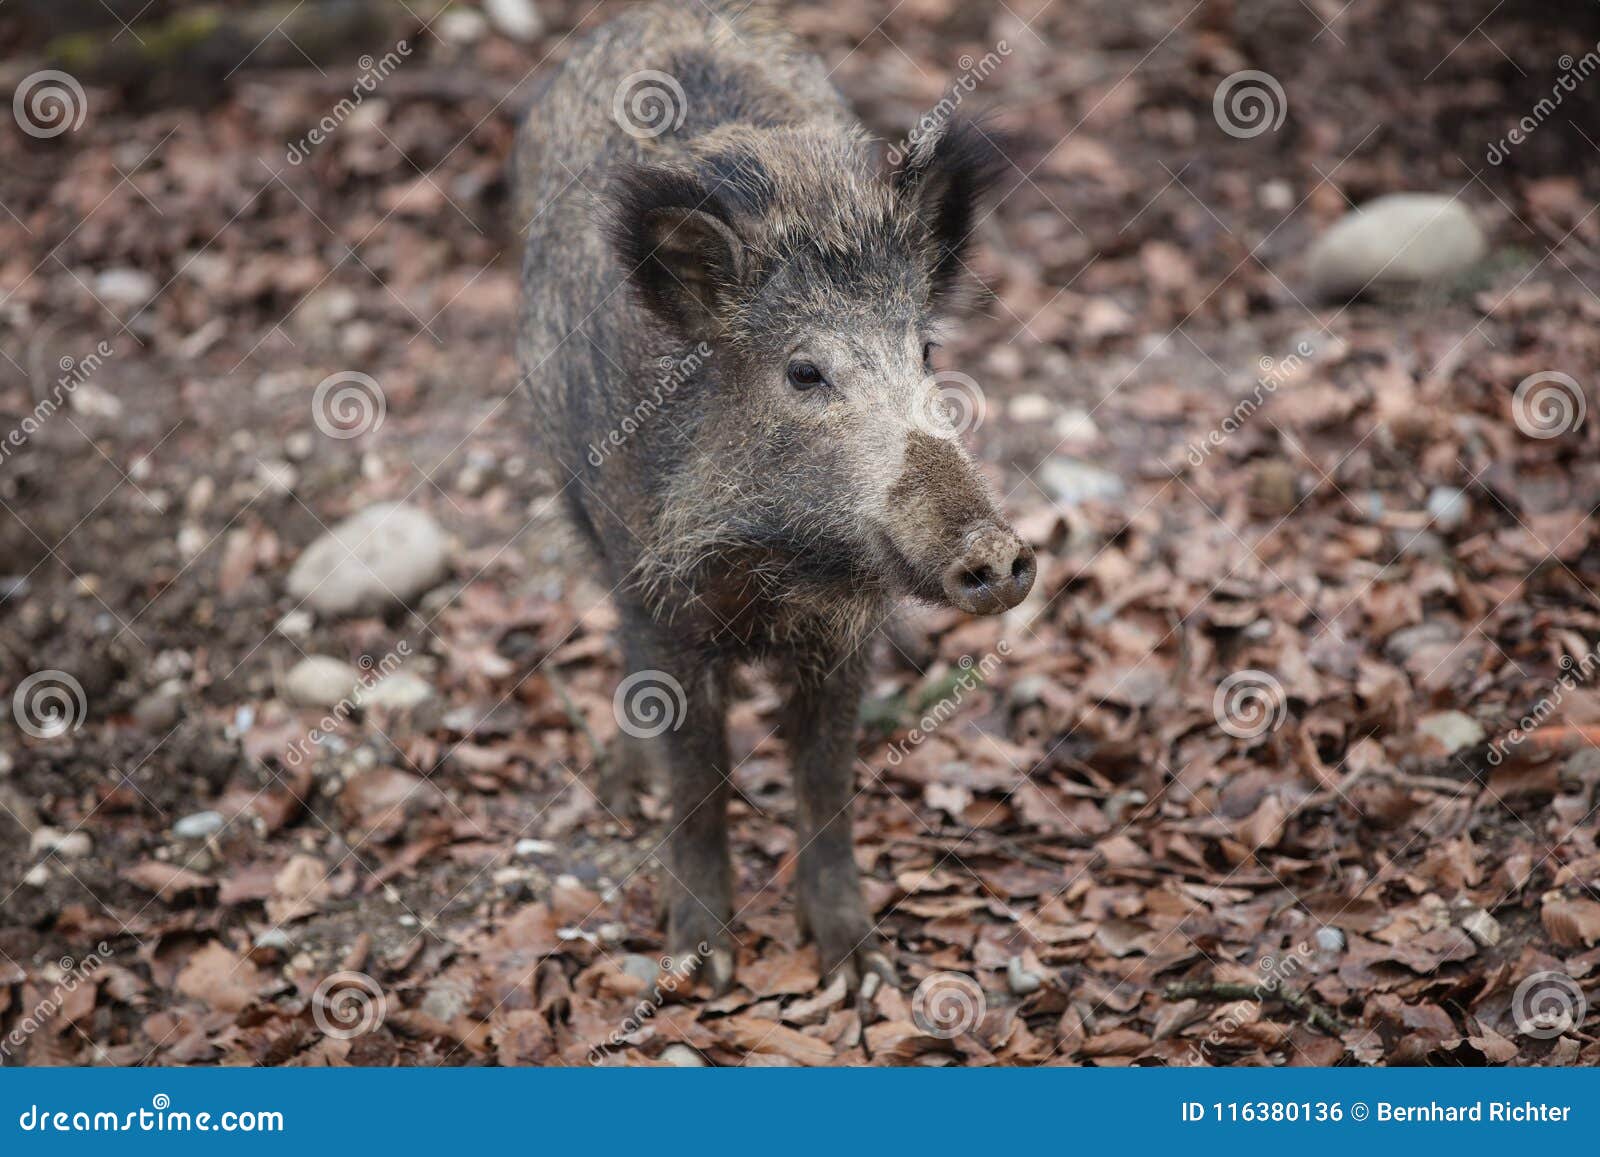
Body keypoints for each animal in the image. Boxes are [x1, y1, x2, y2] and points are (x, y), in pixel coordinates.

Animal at [514, 0, 1035, 993]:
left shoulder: (847, 630)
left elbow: (825, 778)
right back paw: (624, 791)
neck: (776, 562)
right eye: (804, 371)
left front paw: (859, 971)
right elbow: (698, 781)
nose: (999, 553)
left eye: (926, 353)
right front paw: (702, 967)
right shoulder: (662, 597)